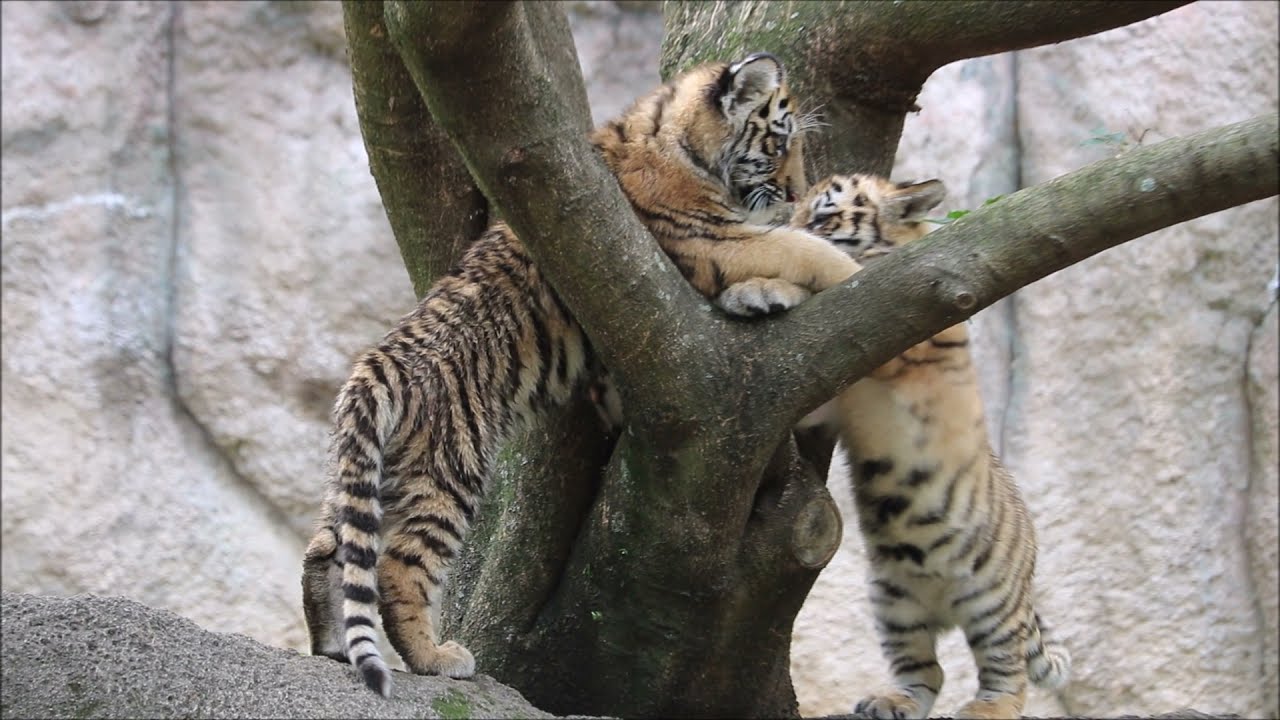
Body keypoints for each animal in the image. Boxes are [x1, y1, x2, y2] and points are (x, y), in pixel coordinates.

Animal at [301, 52, 863, 698]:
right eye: (779, 142)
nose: (796, 191)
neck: (676, 136)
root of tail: (378, 363)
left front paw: (766, 296)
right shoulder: (713, 237)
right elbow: (804, 249)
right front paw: (858, 273)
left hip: (372, 476)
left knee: (328, 549)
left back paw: (332, 648)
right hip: (447, 470)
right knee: (398, 567)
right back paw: (437, 659)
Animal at [722, 174, 1071, 719]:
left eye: (824, 217)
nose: (786, 226)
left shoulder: (899, 333)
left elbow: (834, 279)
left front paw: (762, 286)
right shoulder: (829, 402)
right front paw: (751, 290)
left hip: (992, 600)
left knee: (1010, 677)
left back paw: (986, 708)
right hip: (895, 605)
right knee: (928, 671)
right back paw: (891, 700)